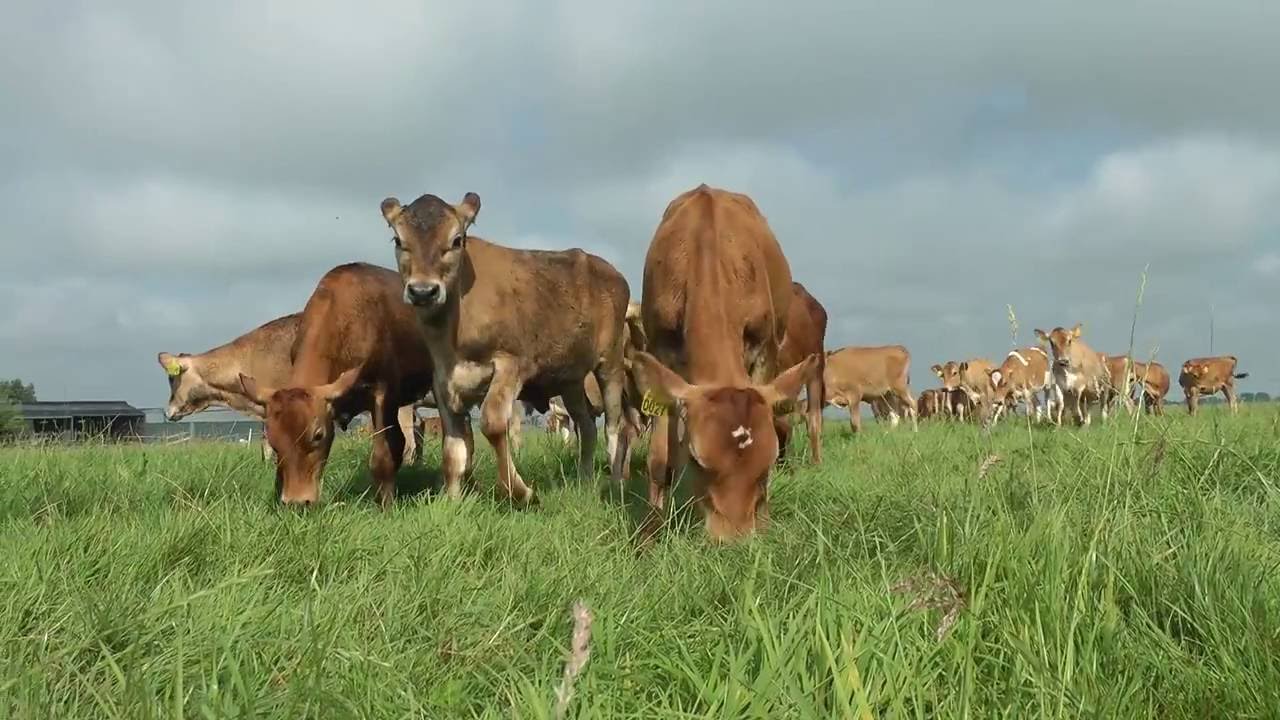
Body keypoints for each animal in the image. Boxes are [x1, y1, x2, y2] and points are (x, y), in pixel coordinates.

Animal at [236, 263, 434, 508]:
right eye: (273, 440)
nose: (297, 501)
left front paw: (386, 505)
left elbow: (385, 453)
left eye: (318, 435)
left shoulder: (383, 395)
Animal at [381, 191, 631, 505]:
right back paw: (584, 480)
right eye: (398, 239)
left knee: (613, 427)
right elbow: (454, 447)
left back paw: (616, 483)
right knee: (586, 427)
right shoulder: (443, 379)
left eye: (456, 240)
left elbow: (492, 423)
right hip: (571, 379)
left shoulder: (510, 364)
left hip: (610, 364)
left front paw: (520, 492)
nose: (423, 291)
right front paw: (452, 501)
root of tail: (610, 270)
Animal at [626, 184, 817, 541]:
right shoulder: (659, 348)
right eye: (696, 460)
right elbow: (660, 457)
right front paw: (650, 533)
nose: (734, 539)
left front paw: (765, 521)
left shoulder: (766, 348)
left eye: (767, 464)